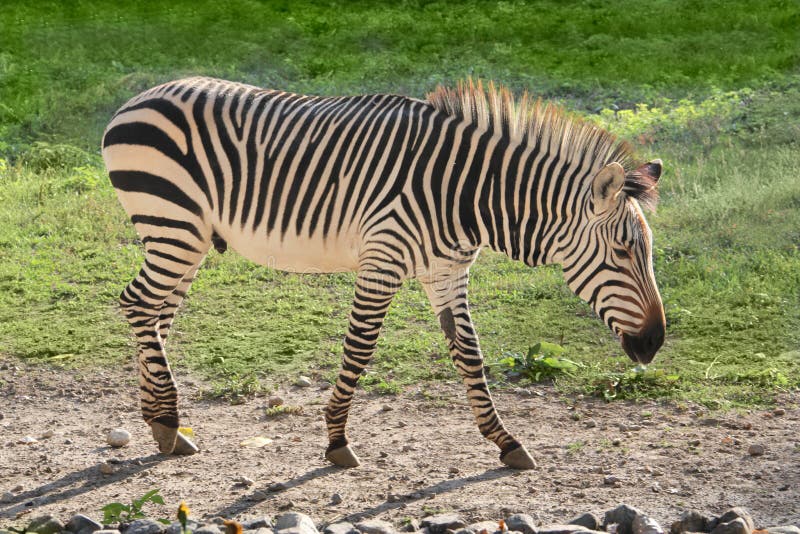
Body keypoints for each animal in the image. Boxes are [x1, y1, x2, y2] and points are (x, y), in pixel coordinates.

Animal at [102, 77, 665, 469]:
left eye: (645, 252)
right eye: (622, 252)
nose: (655, 343)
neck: (466, 194)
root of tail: (135, 100)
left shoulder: (447, 272)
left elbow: (470, 356)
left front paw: (506, 442)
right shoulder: (384, 259)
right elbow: (359, 349)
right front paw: (336, 440)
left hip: (186, 237)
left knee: (156, 316)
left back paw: (163, 426)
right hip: (173, 223)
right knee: (138, 304)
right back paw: (168, 420)